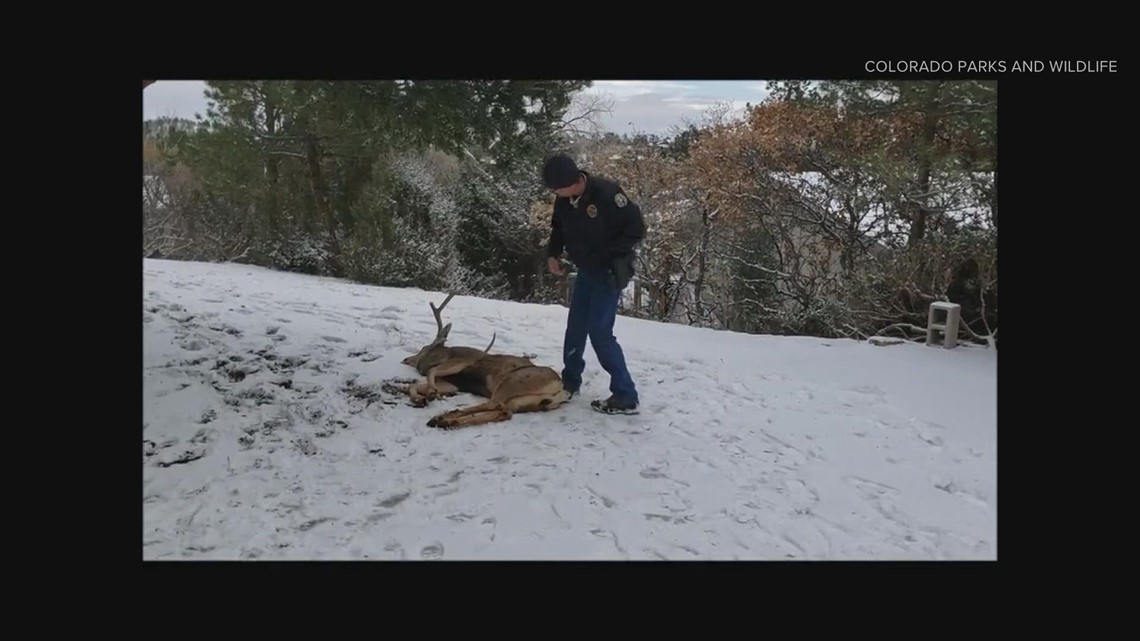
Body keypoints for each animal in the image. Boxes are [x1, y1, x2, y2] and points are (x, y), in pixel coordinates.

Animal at [394, 293, 570, 430]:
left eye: (423, 348)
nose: (406, 359)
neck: (444, 354)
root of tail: (559, 389)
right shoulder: (452, 383)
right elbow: (414, 385)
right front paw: (420, 398)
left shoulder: (462, 361)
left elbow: (431, 372)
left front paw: (431, 393)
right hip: (522, 401)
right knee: (503, 412)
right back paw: (446, 421)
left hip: (511, 383)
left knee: (493, 405)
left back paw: (443, 418)